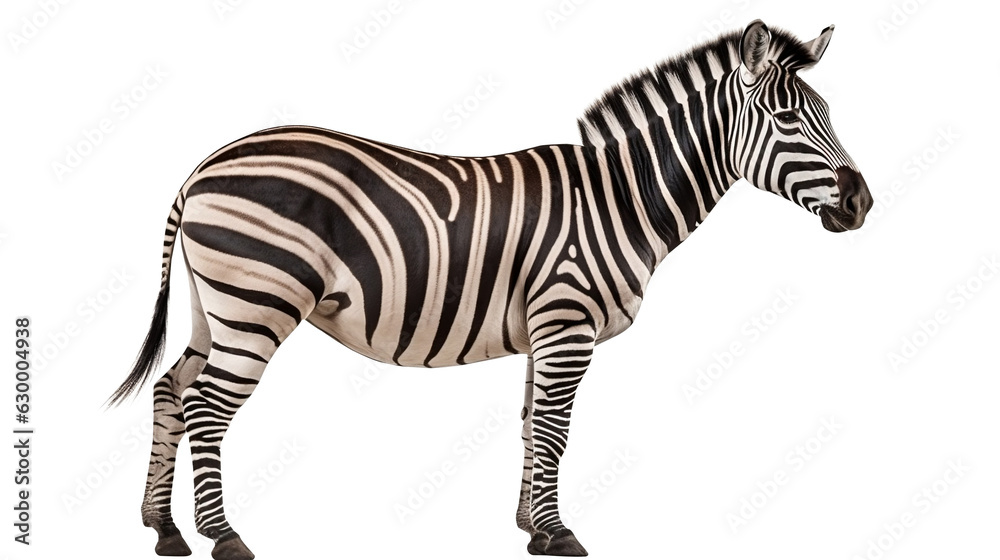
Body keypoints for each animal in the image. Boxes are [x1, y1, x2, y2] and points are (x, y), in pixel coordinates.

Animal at [110, 20, 871, 559]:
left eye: (829, 112)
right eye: (787, 120)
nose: (862, 203)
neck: (620, 198)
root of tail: (202, 167)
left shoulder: (544, 329)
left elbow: (533, 423)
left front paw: (532, 528)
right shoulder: (567, 320)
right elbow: (557, 430)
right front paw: (561, 534)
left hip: (214, 309)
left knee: (171, 391)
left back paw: (163, 529)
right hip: (258, 304)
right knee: (206, 407)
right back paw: (224, 538)